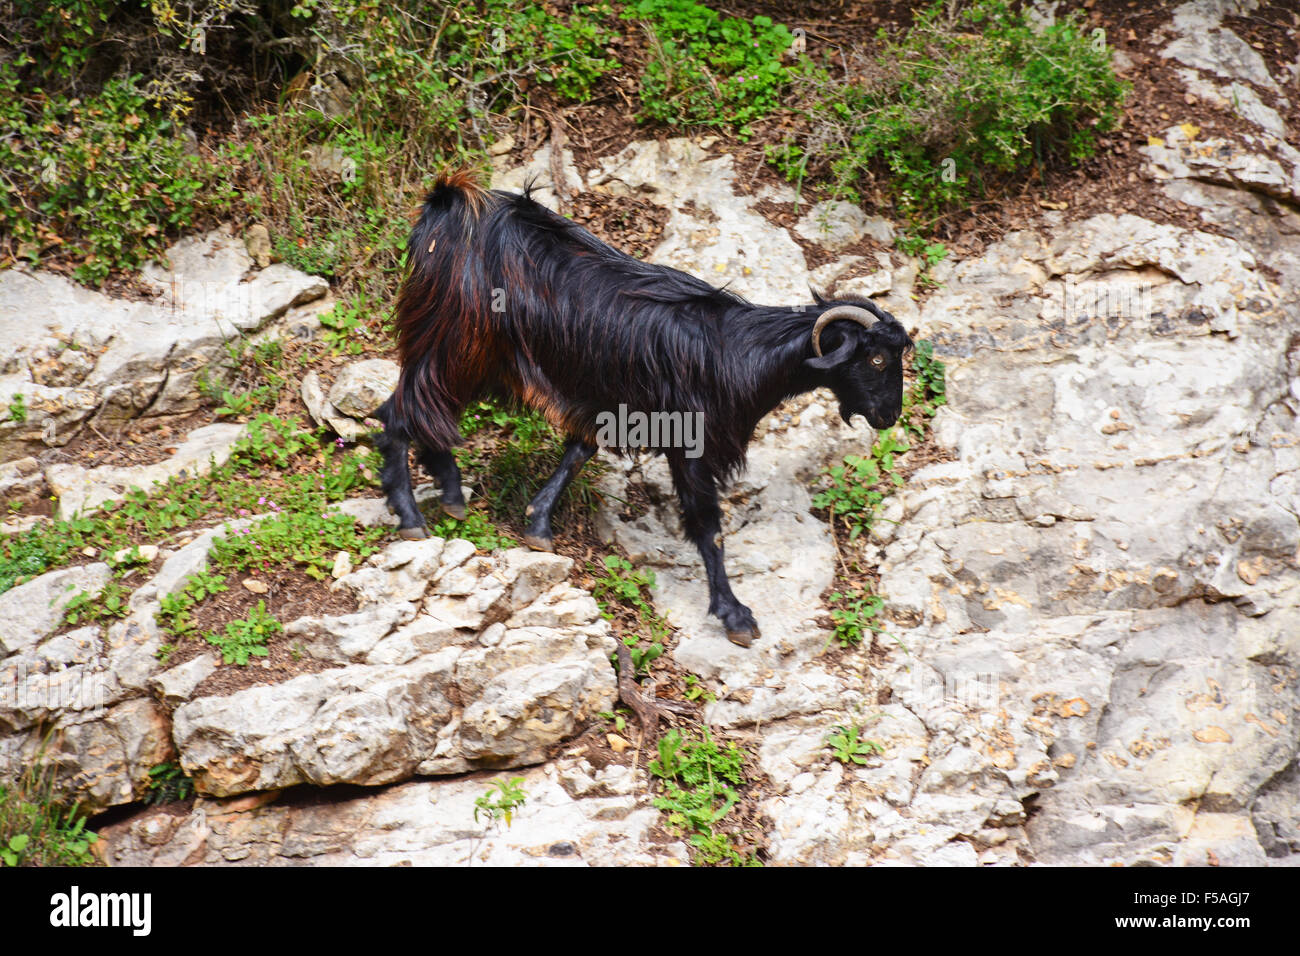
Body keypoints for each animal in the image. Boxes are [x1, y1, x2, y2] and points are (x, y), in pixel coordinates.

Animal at [376, 169, 913, 647]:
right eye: (877, 358)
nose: (889, 416)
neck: (740, 353)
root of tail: (446, 207)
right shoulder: (690, 439)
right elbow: (708, 526)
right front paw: (734, 614)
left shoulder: (610, 405)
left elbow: (578, 452)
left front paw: (538, 524)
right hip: (455, 339)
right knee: (401, 414)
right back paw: (411, 515)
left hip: (468, 354)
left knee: (419, 409)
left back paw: (450, 493)